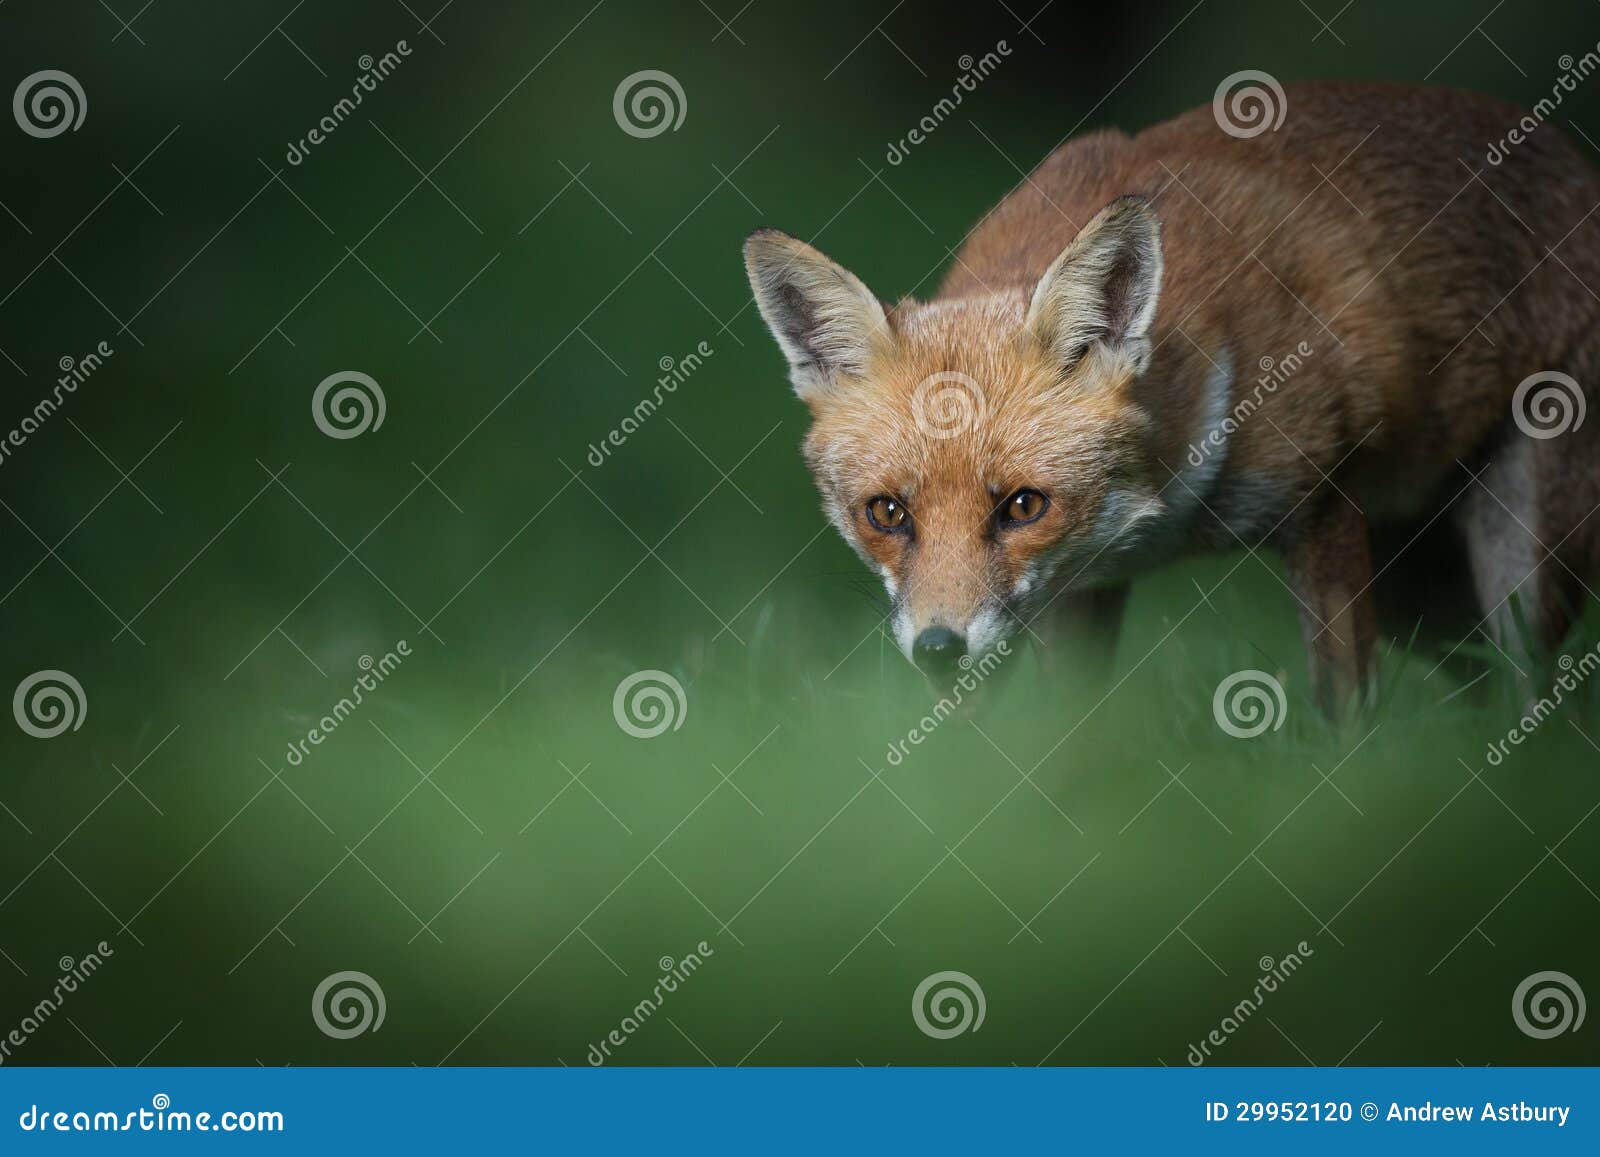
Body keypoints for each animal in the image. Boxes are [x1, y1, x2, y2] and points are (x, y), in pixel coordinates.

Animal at [743, 81, 1600, 717]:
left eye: (1023, 506)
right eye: (886, 513)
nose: (939, 650)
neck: (1155, 518)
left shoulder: (1322, 504)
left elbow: (1344, 713)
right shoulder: (1080, 590)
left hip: (1518, 567)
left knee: (1529, 691)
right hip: (1419, 598)